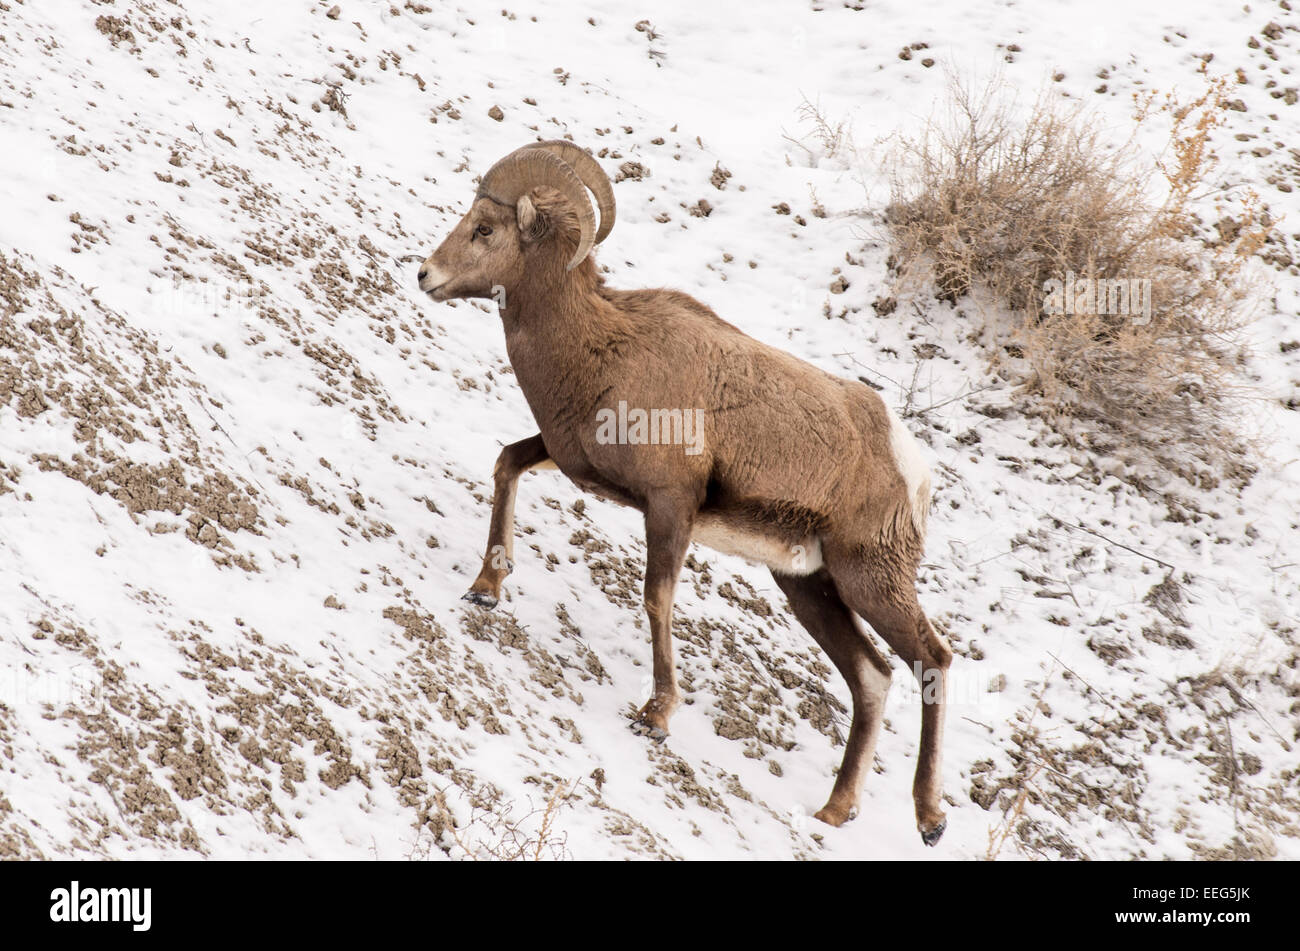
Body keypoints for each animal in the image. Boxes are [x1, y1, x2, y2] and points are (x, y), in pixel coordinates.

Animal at [418, 140, 952, 844]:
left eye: (484, 229)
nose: (424, 275)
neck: (599, 346)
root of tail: (912, 467)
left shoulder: (671, 505)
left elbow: (657, 598)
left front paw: (658, 716)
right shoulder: (567, 457)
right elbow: (507, 464)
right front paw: (485, 588)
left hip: (871, 580)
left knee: (932, 661)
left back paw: (930, 819)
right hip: (808, 586)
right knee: (873, 677)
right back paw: (835, 812)